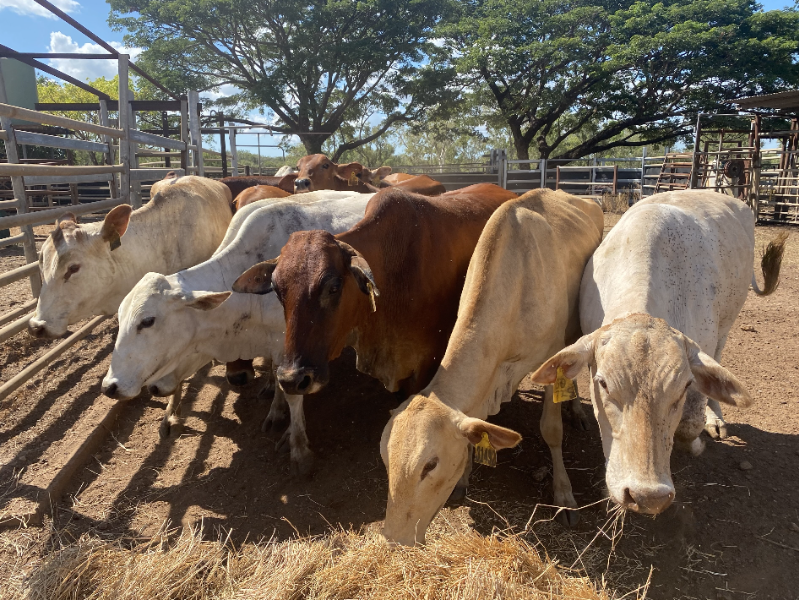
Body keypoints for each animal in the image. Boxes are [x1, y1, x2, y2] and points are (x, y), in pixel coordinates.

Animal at [101, 191, 374, 454]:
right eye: (120, 318)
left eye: (147, 321)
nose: (110, 386)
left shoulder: (292, 350)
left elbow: (291, 391)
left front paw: (295, 440)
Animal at [378, 190, 603, 545]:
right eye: (385, 458)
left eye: (430, 465)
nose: (395, 539)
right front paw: (462, 481)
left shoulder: (551, 356)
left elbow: (551, 430)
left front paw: (564, 496)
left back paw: (577, 412)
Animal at [530, 190, 786, 516]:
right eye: (603, 384)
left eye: (684, 387)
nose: (648, 496)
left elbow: (689, 425)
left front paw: (696, 443)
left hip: (726, 325)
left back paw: (715, 419)